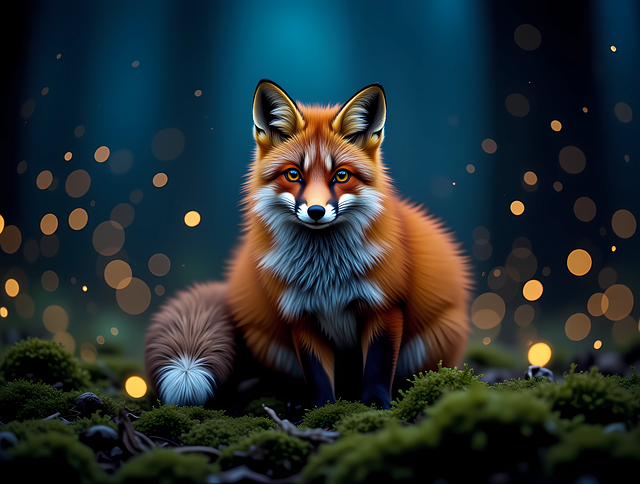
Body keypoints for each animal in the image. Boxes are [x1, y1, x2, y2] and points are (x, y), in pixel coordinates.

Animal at [145, 80, 472, 410]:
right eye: (293, 174)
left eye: (341, 175)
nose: (316, 211)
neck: (327, 276)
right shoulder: (300, 315)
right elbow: (317, 374)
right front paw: (322, 408)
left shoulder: (384, 307)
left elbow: (378, 368)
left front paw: (375, 405)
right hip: (268, 344)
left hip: (435, 336)